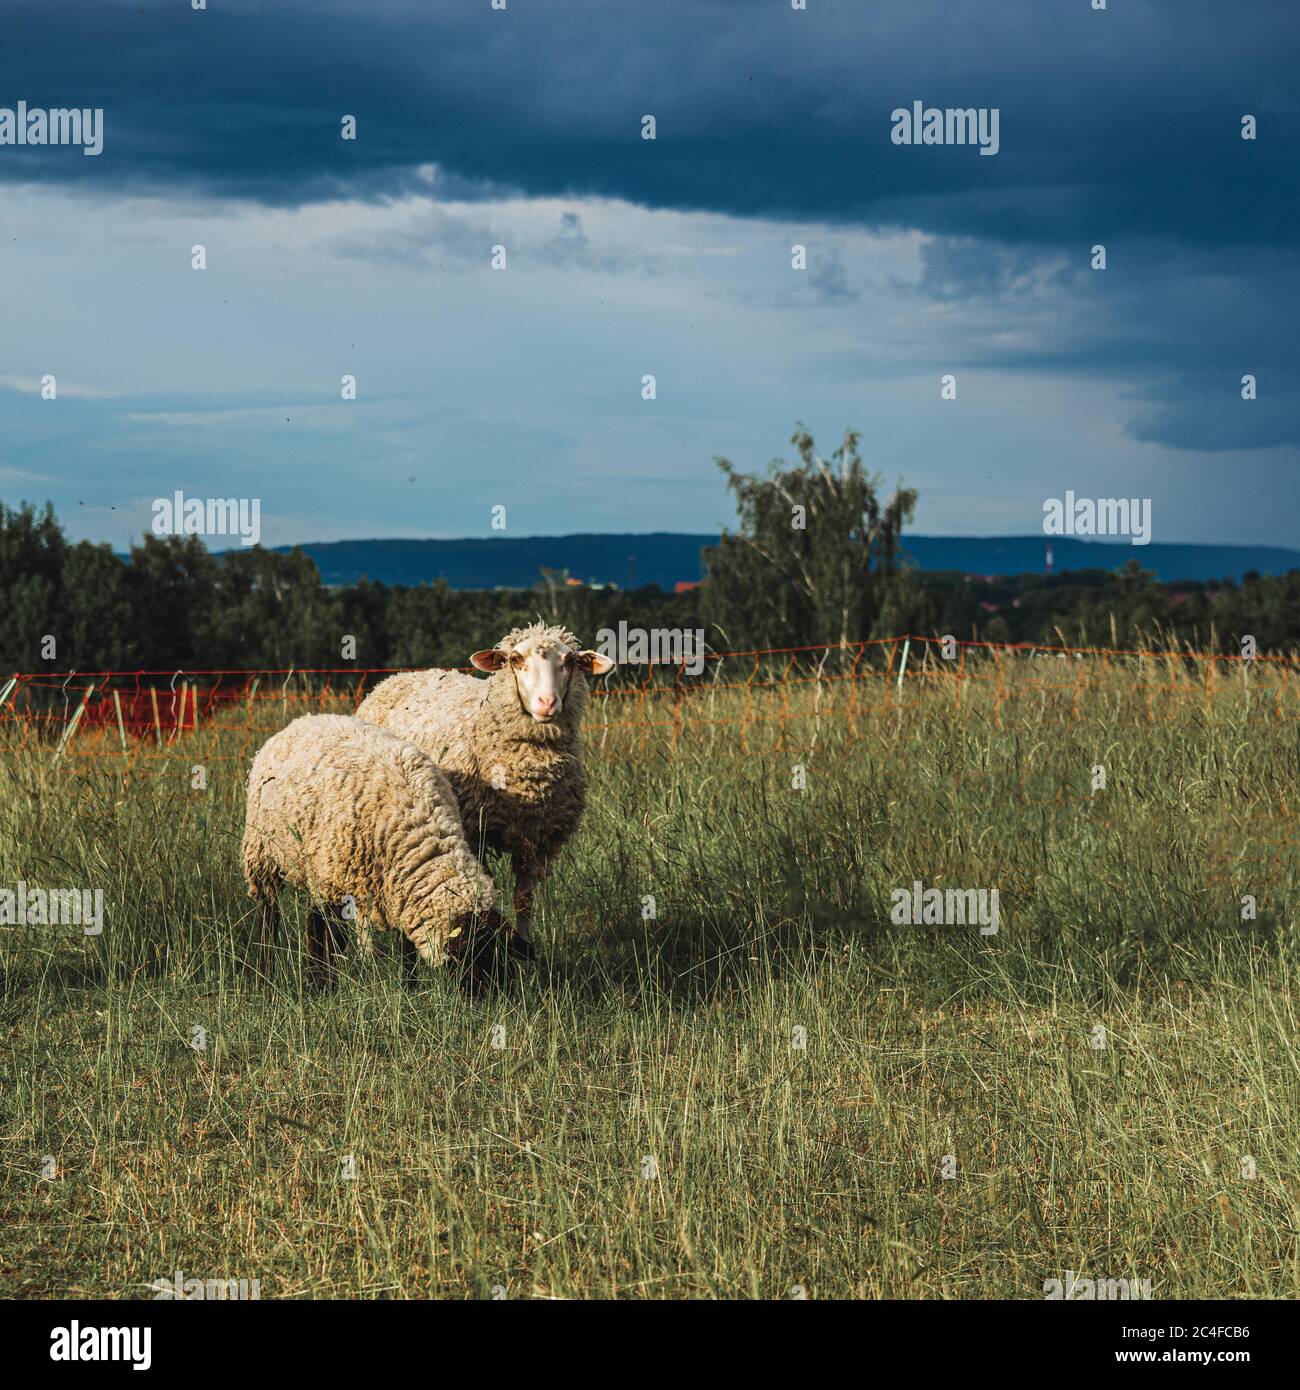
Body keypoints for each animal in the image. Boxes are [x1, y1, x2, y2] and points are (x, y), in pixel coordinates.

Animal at [241, 713, 515, 986]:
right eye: (476, 956)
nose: (496, 994)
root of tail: (302, 720)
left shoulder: (402, 887)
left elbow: (406, 950)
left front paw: (408, 987)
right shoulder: (341, 883)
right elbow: (333, 938)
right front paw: (329, 985)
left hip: (317, 869)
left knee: (312, 920)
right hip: (265, 855)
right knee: (271, 914)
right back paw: (269, 973)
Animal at [355, 621, 615, 948]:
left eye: (569, 661)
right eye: (515, 659)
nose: (547, 703)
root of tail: (398, 677)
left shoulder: (536, 839)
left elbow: (524, 900)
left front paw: (526, 947)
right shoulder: (474, 832)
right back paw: (366, 949)